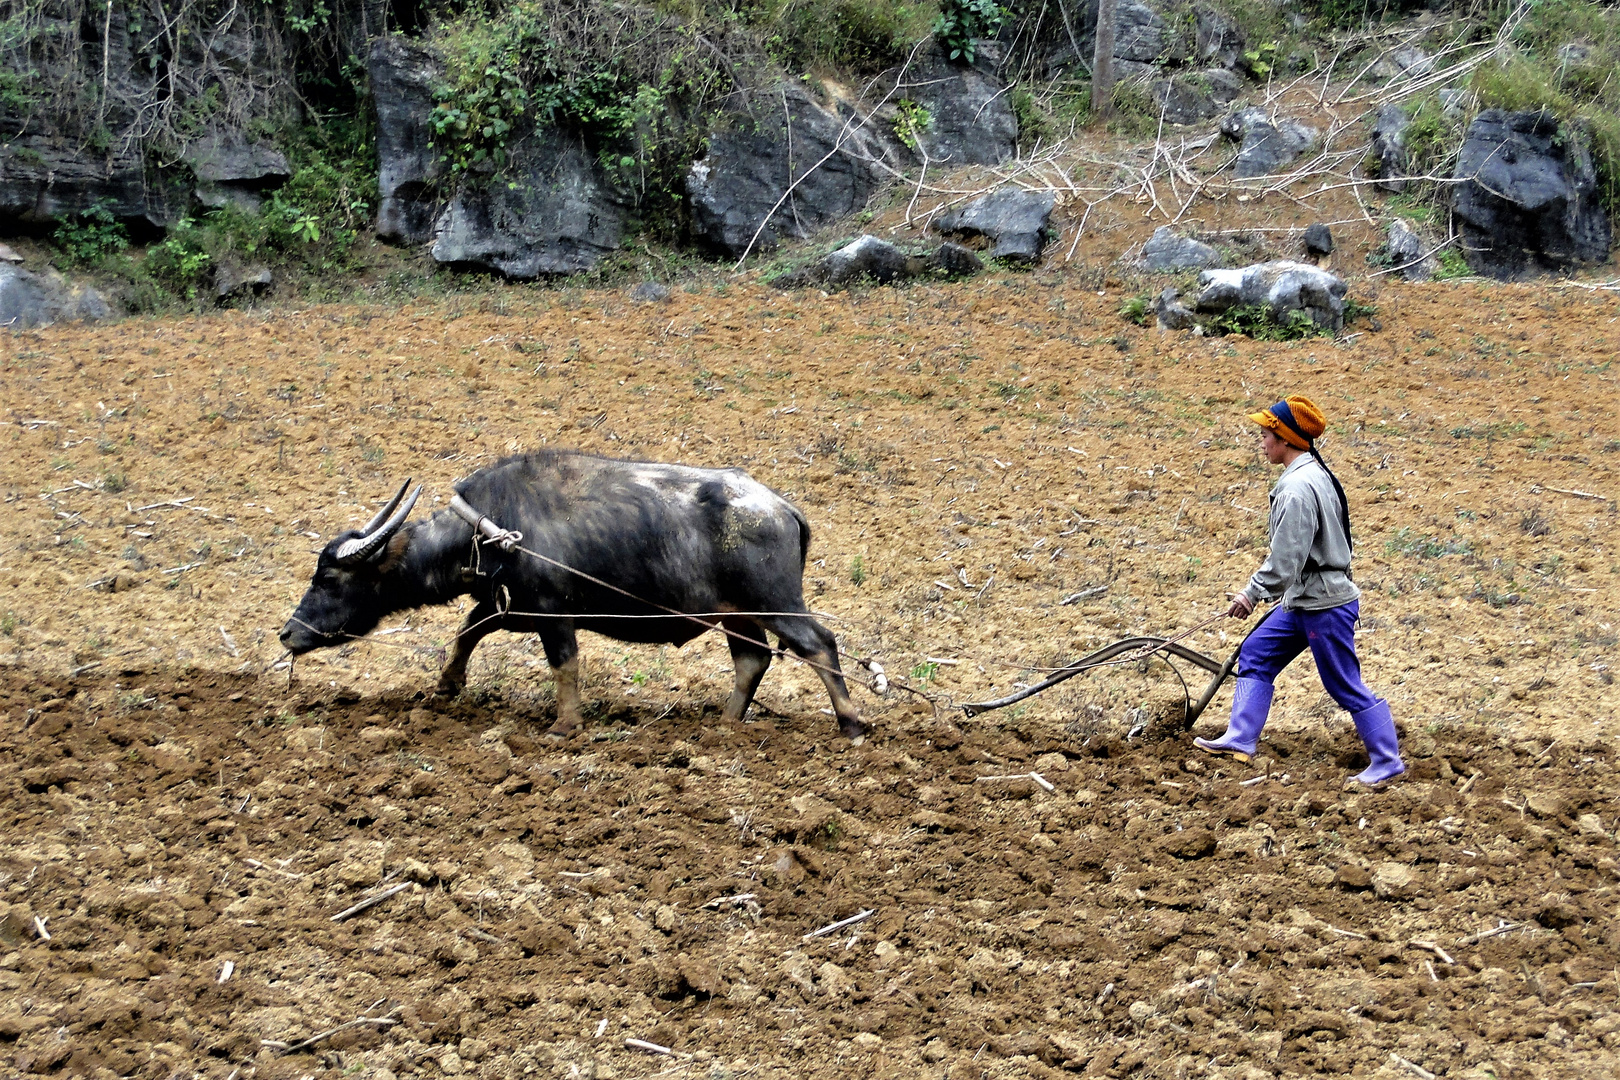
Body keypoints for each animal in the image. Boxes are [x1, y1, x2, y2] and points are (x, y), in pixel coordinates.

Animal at [285, 450, 868, 744]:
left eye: (328, 578)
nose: (288, 633)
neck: (489, 527)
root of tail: (782, 508)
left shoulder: (552, 613)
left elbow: (563, 663)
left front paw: (564, 725)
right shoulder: (509, 604)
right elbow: (468, 628)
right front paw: (446, 686)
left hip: (777, 604)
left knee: (819, 644)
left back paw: (852, 724)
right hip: (737, 615)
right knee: (753, 659)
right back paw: (725, 725)